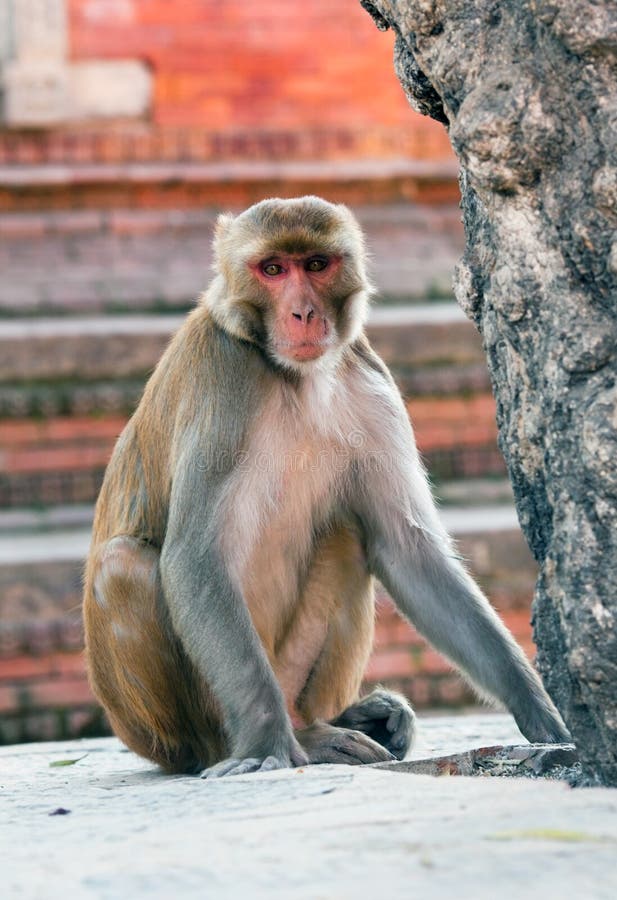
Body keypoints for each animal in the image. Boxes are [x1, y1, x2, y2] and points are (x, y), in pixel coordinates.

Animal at [83, 195, 571, 778]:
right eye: (272, 269)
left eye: (316, 265)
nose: (303, 313)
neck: (295, 377)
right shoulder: (225, 384)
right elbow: (195, 556)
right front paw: (263, 744)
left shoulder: (371, 385)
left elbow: (407, 550)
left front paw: (539, 708)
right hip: (165, 732)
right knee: (122, 566)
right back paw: (268, 741)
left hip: (291, 675)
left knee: (347, 533)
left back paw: (335, 722)